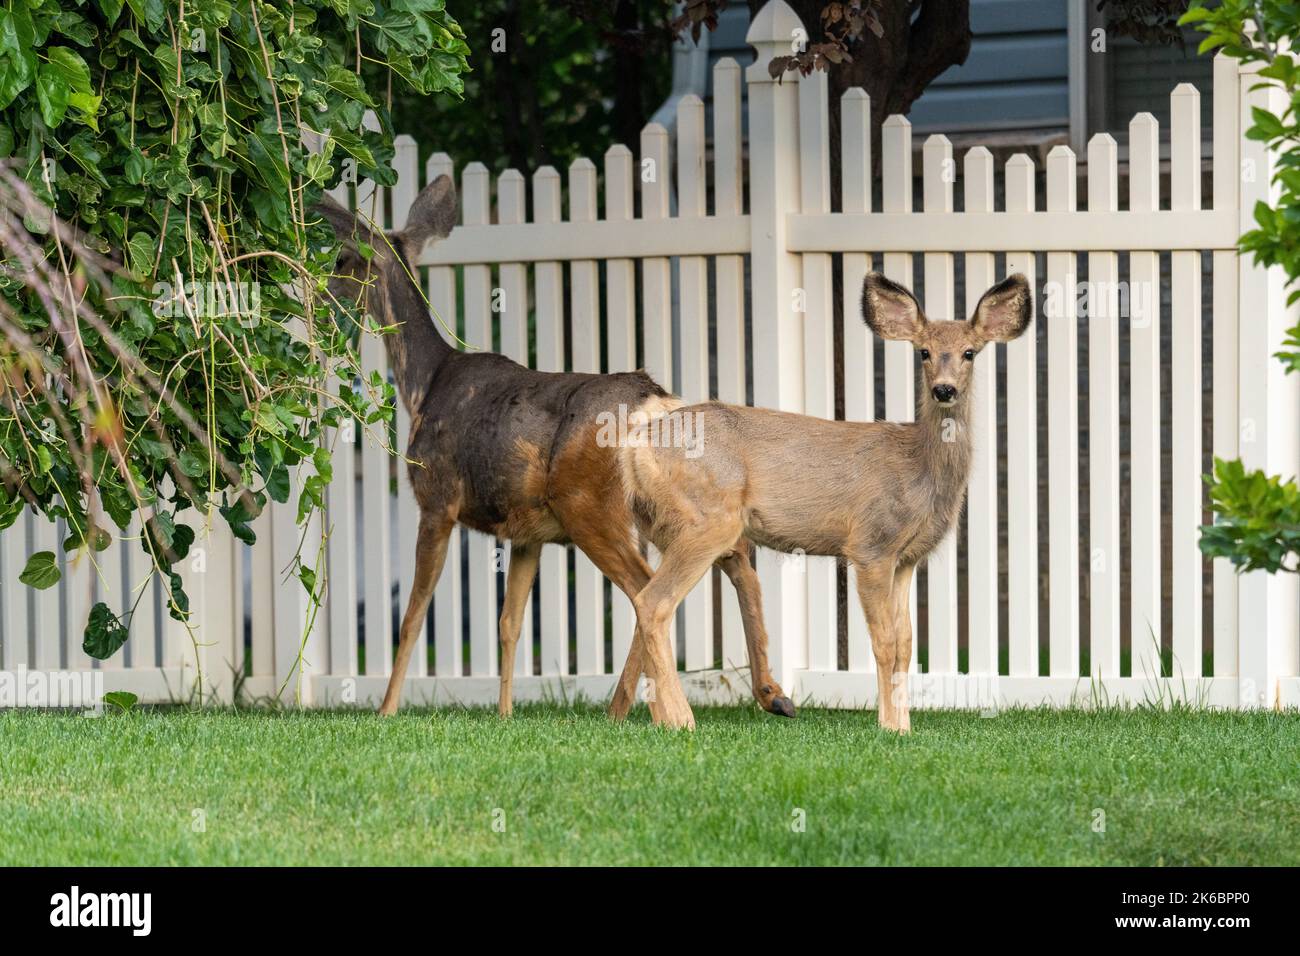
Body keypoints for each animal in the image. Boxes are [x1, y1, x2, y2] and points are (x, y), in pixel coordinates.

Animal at [315, 175, 796, 730]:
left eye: (343, 259)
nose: (319, 291)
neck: (425, 384)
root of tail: (652, 398)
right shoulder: (527, 533)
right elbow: (510, 622)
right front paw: (504, 714)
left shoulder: (437, 500)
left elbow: (413, 614)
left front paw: (386, 709)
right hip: (672, 502)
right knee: (732, 557)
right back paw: (766, 694)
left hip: (589, 506)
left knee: (647, 588)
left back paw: (653, 710)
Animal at [613, 272, 1032, 733]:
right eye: (923, 351)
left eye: (969, 352)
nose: (944, 389)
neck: (917, 468)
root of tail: (635, 445)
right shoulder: (871, 545)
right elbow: (885, 641)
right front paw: (891, 726)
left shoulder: (906, 557)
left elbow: (906, 644)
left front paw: (904, 724)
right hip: (708, 520)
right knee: (653, 603)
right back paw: (681, 720)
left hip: (668, 527)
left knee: (642, 599)